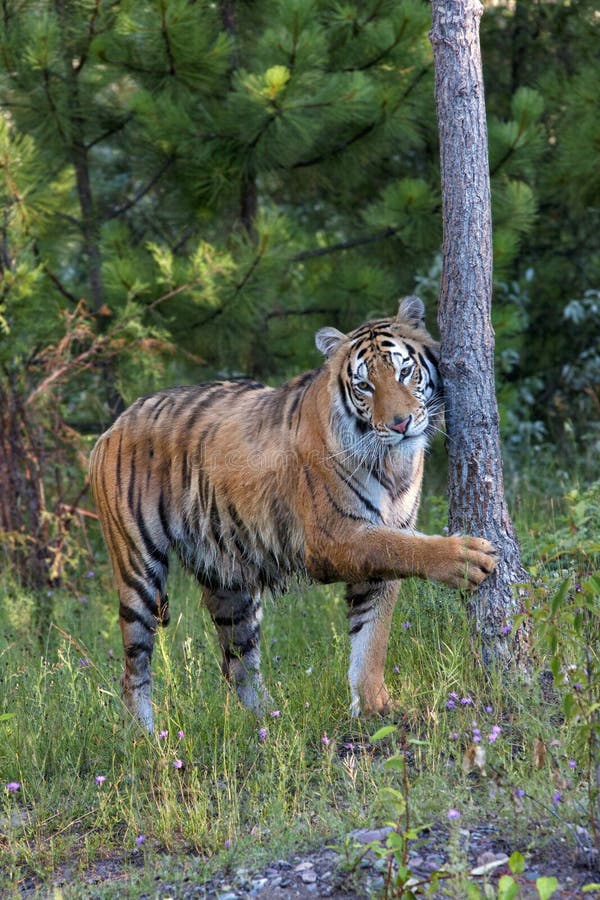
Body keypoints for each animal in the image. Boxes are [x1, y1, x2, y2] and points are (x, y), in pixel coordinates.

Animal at [89, 295, 496, 731]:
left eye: (405, 371)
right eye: (365, 386)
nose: (401, 423)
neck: (393, 463)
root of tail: (112, 426)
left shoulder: (378, 548)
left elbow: (371, 637)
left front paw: (375, 710)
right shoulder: (333, 538)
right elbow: (402, 549)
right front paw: (467, 558)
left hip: (230, 582)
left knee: (238, 664)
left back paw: (270, 724)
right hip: (138, 569)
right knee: (134, 666)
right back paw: (149, 736)